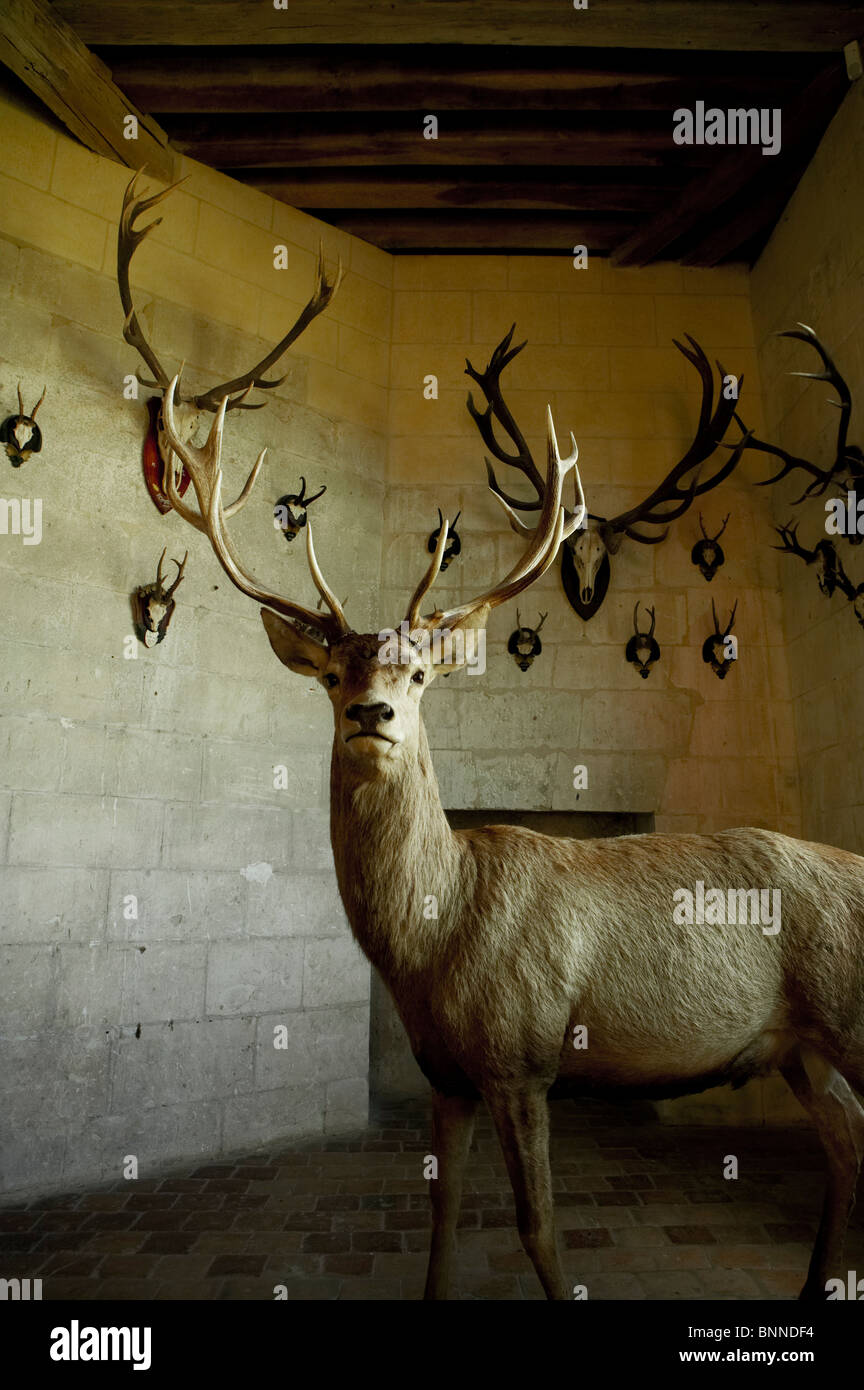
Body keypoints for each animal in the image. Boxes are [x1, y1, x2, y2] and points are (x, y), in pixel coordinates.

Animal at [121, 188, 864, 1304]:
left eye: (420, 676)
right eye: (335, 674)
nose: (372, 714)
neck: (435, 936)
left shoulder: (523, 1053)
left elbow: (537, 1224)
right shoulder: (448, 1074)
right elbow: (440, 1215)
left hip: (849, 1013)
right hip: (801, 1045)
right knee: (846, 1140)